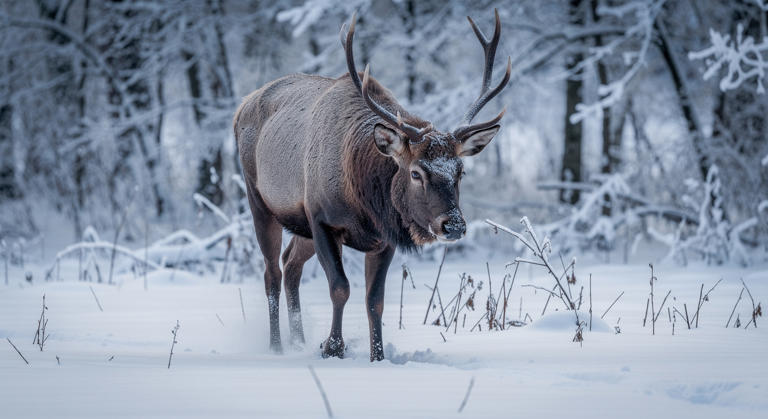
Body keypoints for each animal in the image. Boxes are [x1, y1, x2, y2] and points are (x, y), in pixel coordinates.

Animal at [234, 10, 510, 361]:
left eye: (461, 171)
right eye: (416, 172)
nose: (454, 225)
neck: (363, 201)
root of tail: (241, 105)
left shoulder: (385, 234)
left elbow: (374, 300)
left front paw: (376, 357)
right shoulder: (321, 219)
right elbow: (340, 287)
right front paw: (332, 347)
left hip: (300, 226)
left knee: (291, 264)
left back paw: (298, 342)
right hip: (259, 200)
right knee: (272, 271)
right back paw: (277, 348)